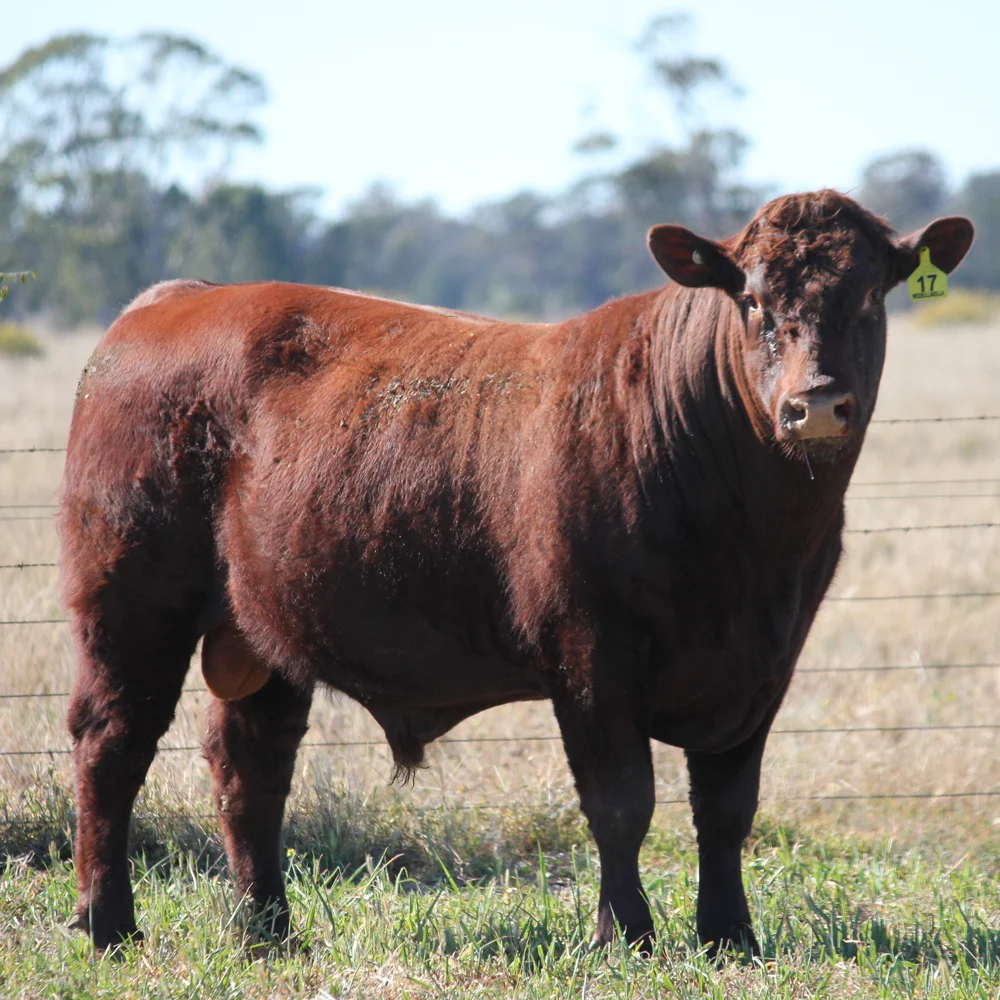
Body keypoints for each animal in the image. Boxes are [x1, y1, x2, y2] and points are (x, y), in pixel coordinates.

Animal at [59, 190, 974, 954]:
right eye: (750, 299)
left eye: (870, 297)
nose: (813, 402)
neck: (751, 541)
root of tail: (176, 298)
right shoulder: (592, 653)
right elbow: (621, 801)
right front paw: (625, 935)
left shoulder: (768, 663)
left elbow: (725, 808)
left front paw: (729, 936)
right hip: (129, 603)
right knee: (112, 744)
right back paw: (109, 925)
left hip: (264, 628)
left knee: (250, 765)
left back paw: (268, 929)